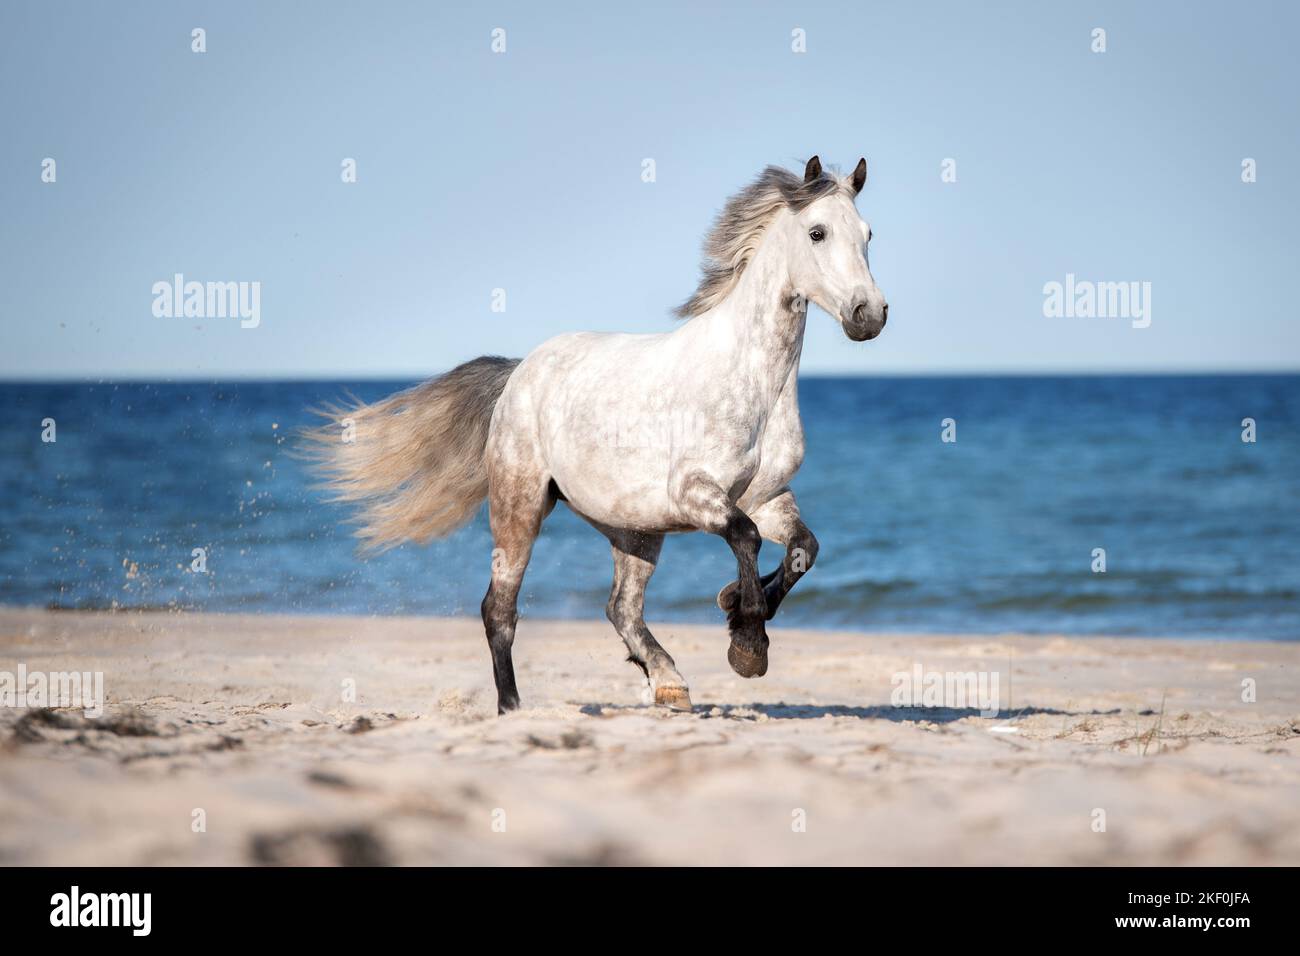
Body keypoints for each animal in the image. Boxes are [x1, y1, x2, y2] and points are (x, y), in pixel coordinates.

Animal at [308, 155, 888, 715]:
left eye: (867, 233)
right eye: (816, 232)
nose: (869, 315)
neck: (754, 386)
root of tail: (518, 373)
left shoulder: (768, 497)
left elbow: (804, 549)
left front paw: (735, 611)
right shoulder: (696, 492)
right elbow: (745, 537)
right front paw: (747, 644)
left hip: (636, 529)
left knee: (621, 607)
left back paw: (669, 684)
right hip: (520, 507)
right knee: (500, 607)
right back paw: (513, 707)